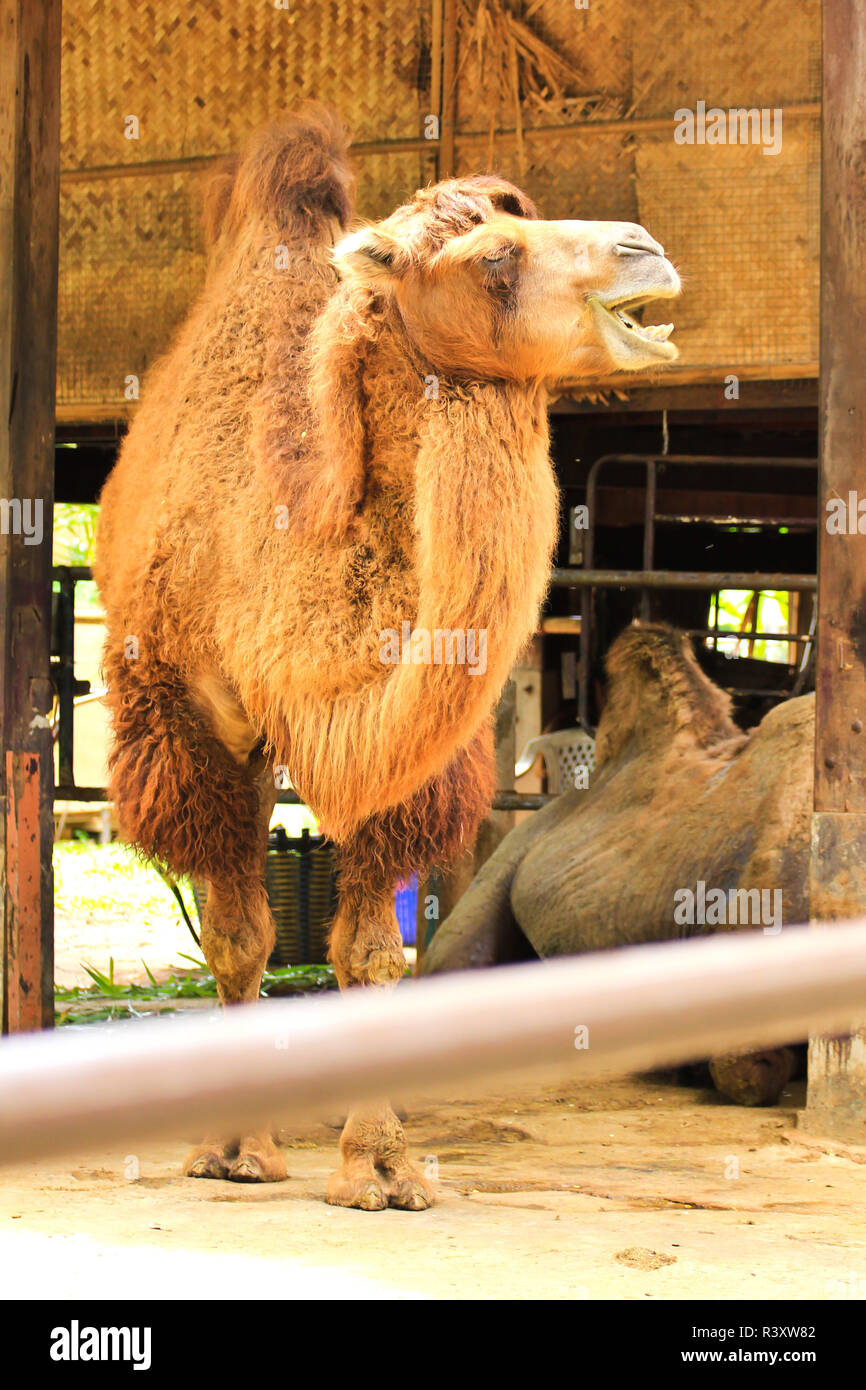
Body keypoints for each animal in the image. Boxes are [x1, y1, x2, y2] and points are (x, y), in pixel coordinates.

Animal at [94, 106, 681, 1209]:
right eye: (495, 257)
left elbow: (371, 955)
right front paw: (234, 1149)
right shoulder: (198, 723)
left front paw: (379, 1164)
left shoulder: (404, 757)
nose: (646, 247)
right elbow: (238, 938)